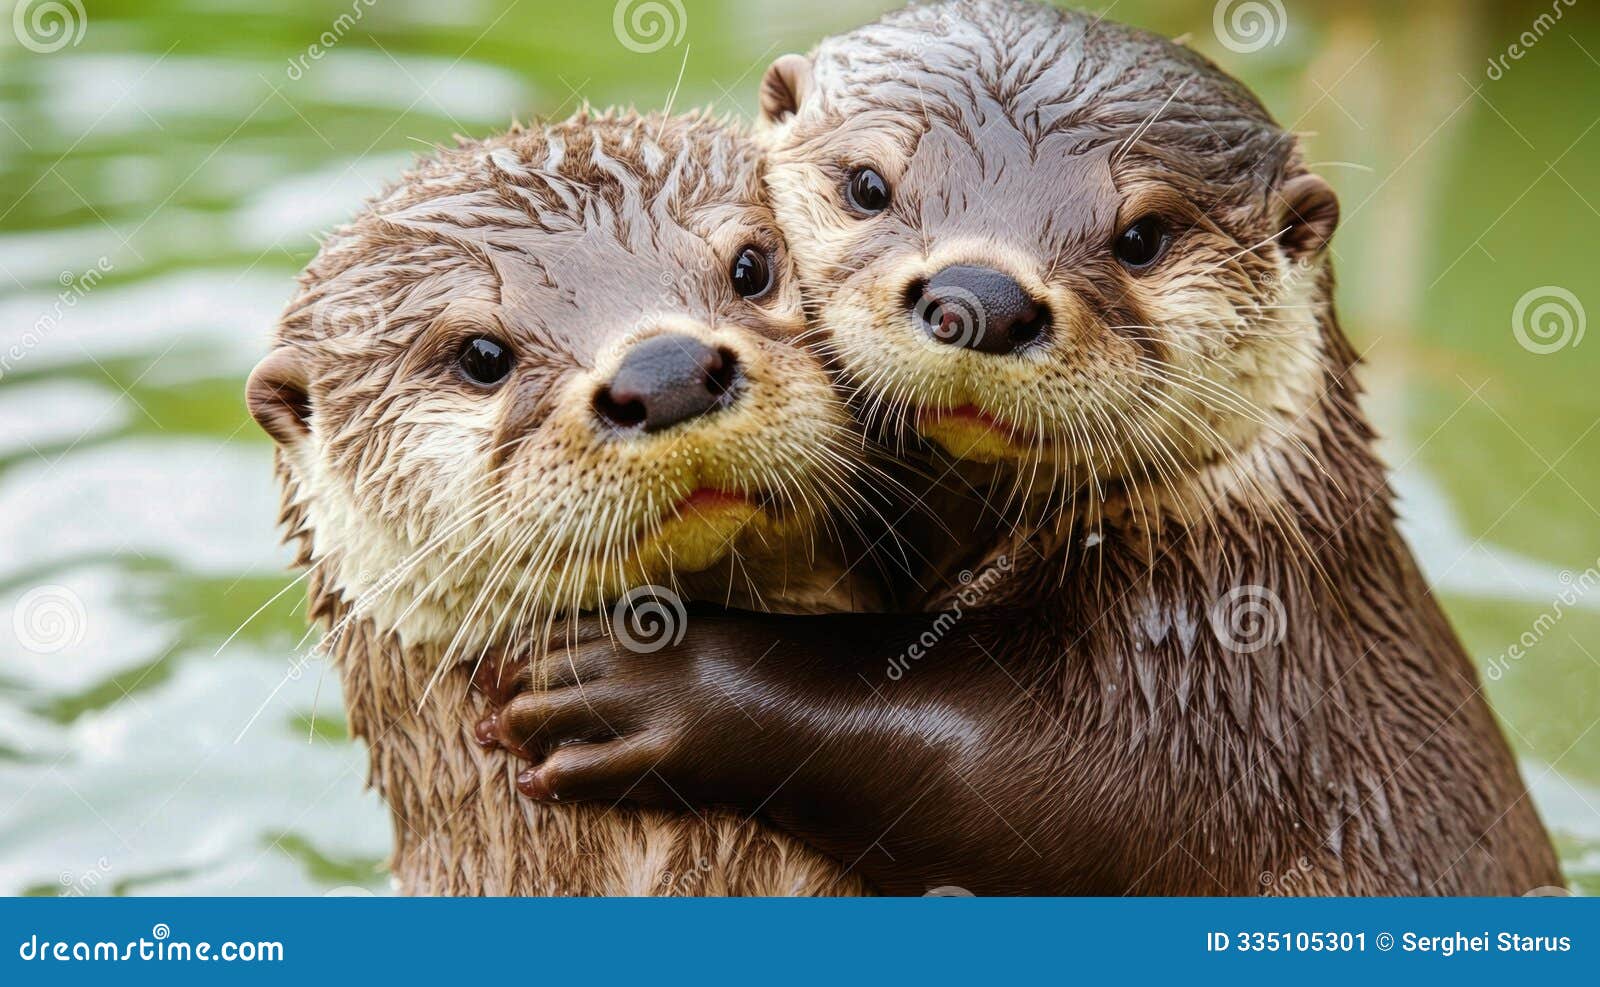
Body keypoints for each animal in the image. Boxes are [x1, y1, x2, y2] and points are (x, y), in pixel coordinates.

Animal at [486, 1, 1563, 895]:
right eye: (869, 184)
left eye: (1142, 237)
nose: (983, 294)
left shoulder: (1234, 683)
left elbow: (1006, 771)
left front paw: (651, 675)